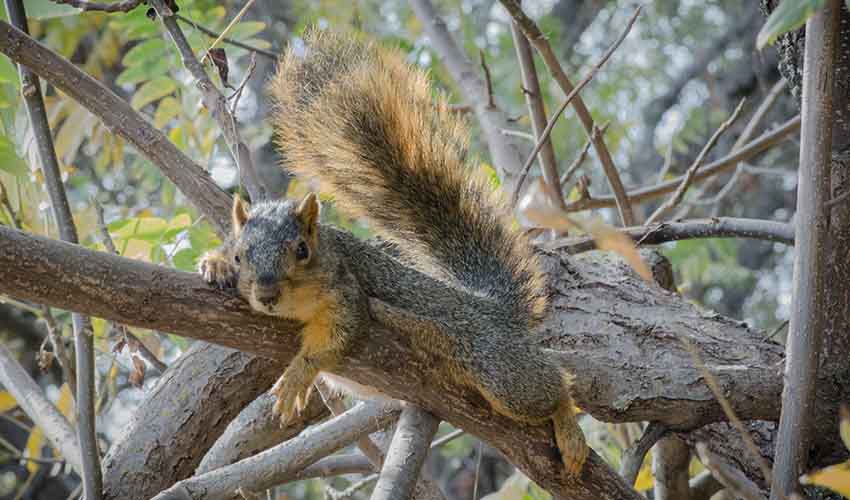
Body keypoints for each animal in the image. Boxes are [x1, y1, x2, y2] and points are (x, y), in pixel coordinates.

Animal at [198, 29, 588, 475]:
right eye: (241, 255)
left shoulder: (346, 292)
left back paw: (569, 430)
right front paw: (214, 265)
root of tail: (494, 309)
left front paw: (298, 374)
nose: (265, 295)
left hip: (500, 370)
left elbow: (337, 338)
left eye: (301, 250)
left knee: (553, 388)